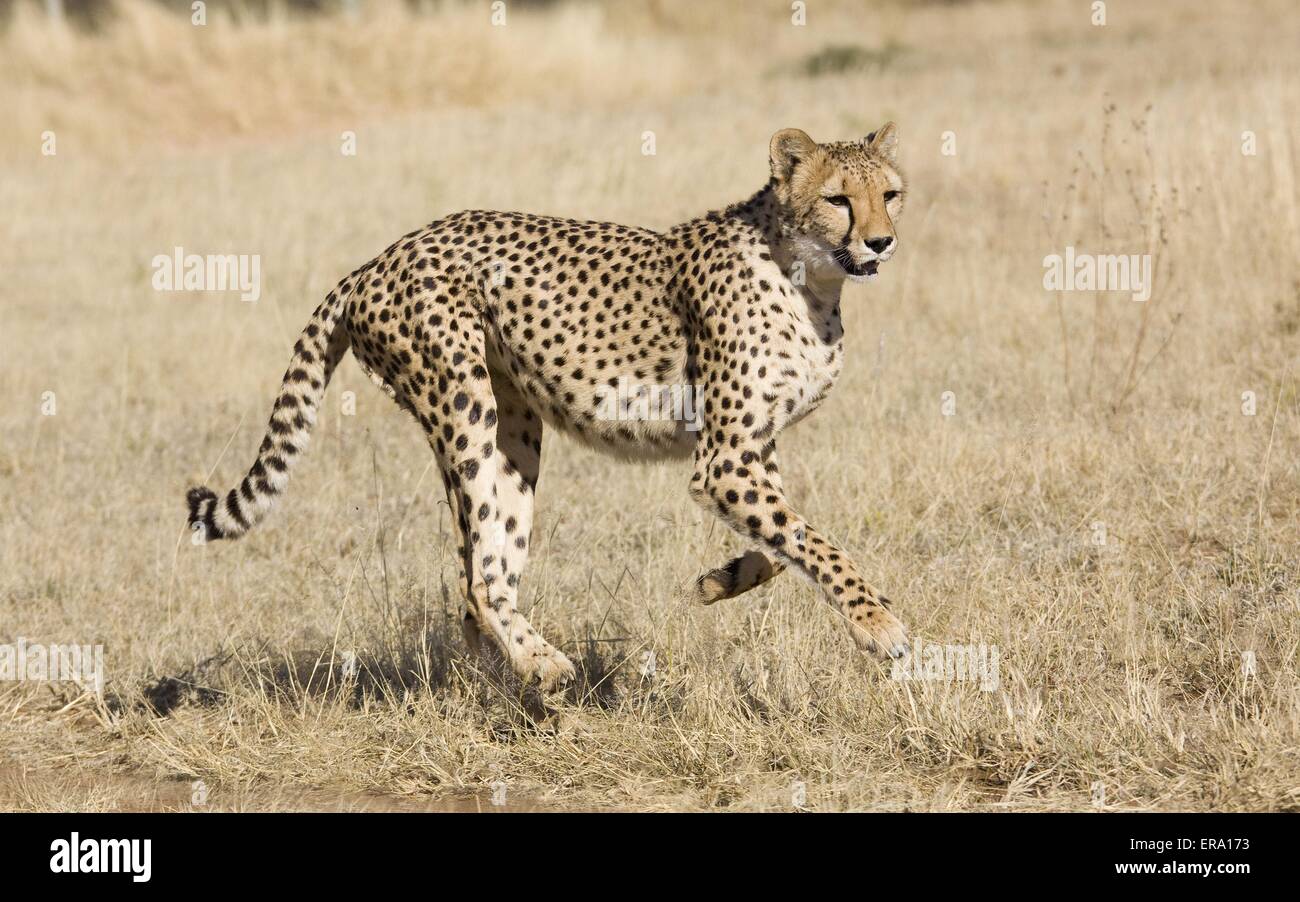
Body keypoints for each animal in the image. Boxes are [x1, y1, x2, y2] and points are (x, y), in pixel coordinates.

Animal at [186, 124, 911, 691]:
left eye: (890, 194)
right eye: (838, 199)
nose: (881, 242)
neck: (809, 279)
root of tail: (377, 259)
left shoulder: (748, 449)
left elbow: (785, 543)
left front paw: (719, 581)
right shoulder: (725, 461)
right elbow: (815, 543)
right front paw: (879, 626)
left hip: (516, 433)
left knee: (480, 576)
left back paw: (505, 681)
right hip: (463, 404)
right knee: (479, 579)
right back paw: (543, 666)